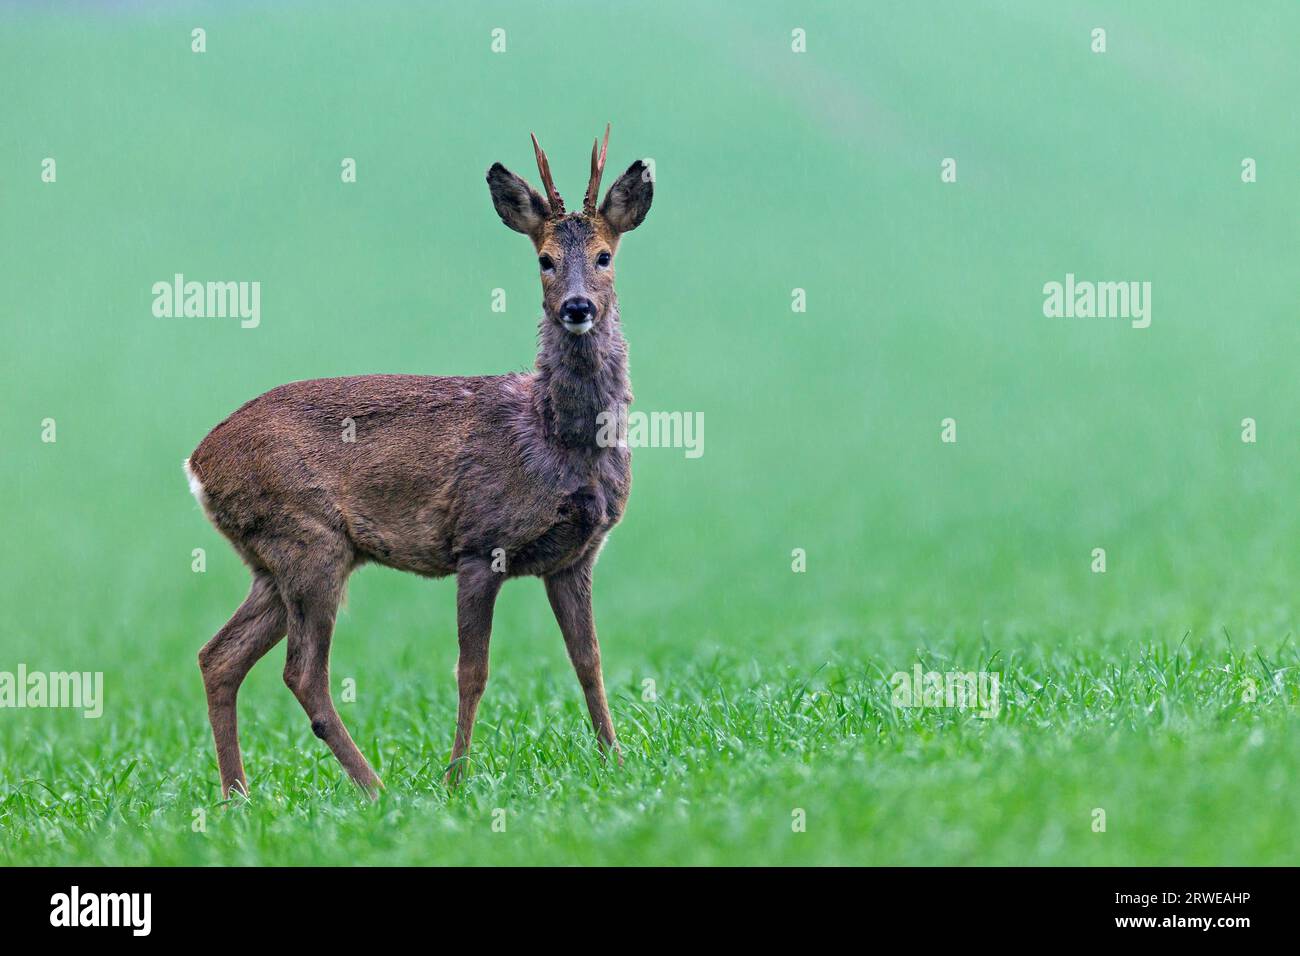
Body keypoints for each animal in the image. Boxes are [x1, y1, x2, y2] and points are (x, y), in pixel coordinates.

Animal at [186, 126, 652, 798]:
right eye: (543, 259)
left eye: (604, 256)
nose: (577, 307)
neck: (556, 437)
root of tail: (199, 463)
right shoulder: (480, 542)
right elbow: (471, 671)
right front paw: (456, 778)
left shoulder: (575, 556)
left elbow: (589, 660)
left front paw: (615, 759)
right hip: (308, 540)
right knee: (302, 673)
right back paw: (374, 789)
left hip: (272, 562)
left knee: (219, 657)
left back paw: (237, 798)